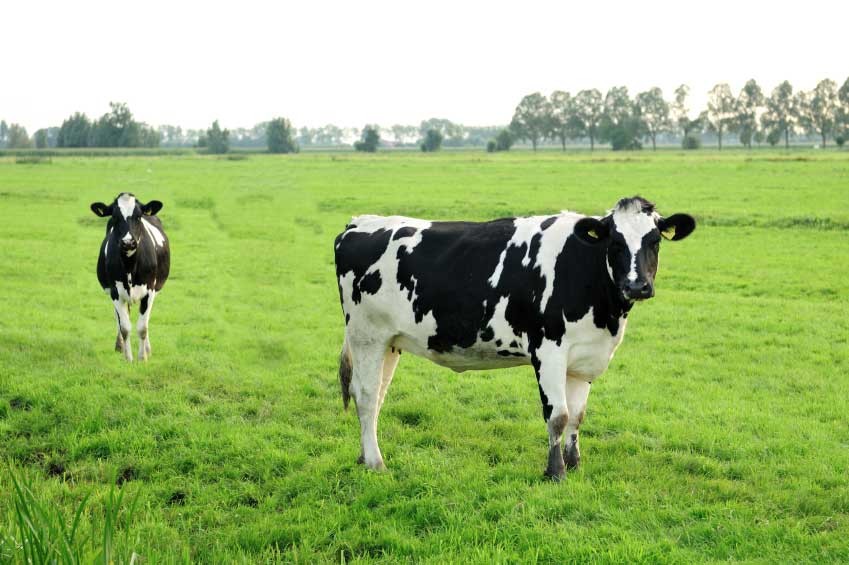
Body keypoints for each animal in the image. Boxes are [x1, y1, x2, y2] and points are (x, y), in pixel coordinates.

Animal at [90, 193, 170, 362]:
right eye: (115, 216)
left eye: (138, 216)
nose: (128, 242)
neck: (129, 265)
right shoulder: (115, 291)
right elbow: (125, 327)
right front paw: (128, 359)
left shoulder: (149, 291)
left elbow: (142, 327)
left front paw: (142, 357)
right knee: (119, 318)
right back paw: (119, 345)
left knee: (145, 318)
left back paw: (147, 348)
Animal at [334, 196, 695, 479]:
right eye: (615, 243)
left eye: (654, 241)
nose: (637, 285)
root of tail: (359, 222)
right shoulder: (549, 350)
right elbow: (558, 416)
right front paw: (555, 472)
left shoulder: (585, 357)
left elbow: (578, 416)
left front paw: (574, 464)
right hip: (366, 335)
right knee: (365, 394)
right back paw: (376, 462)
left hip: (390, 342)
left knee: (377, 394)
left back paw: (364, 455)